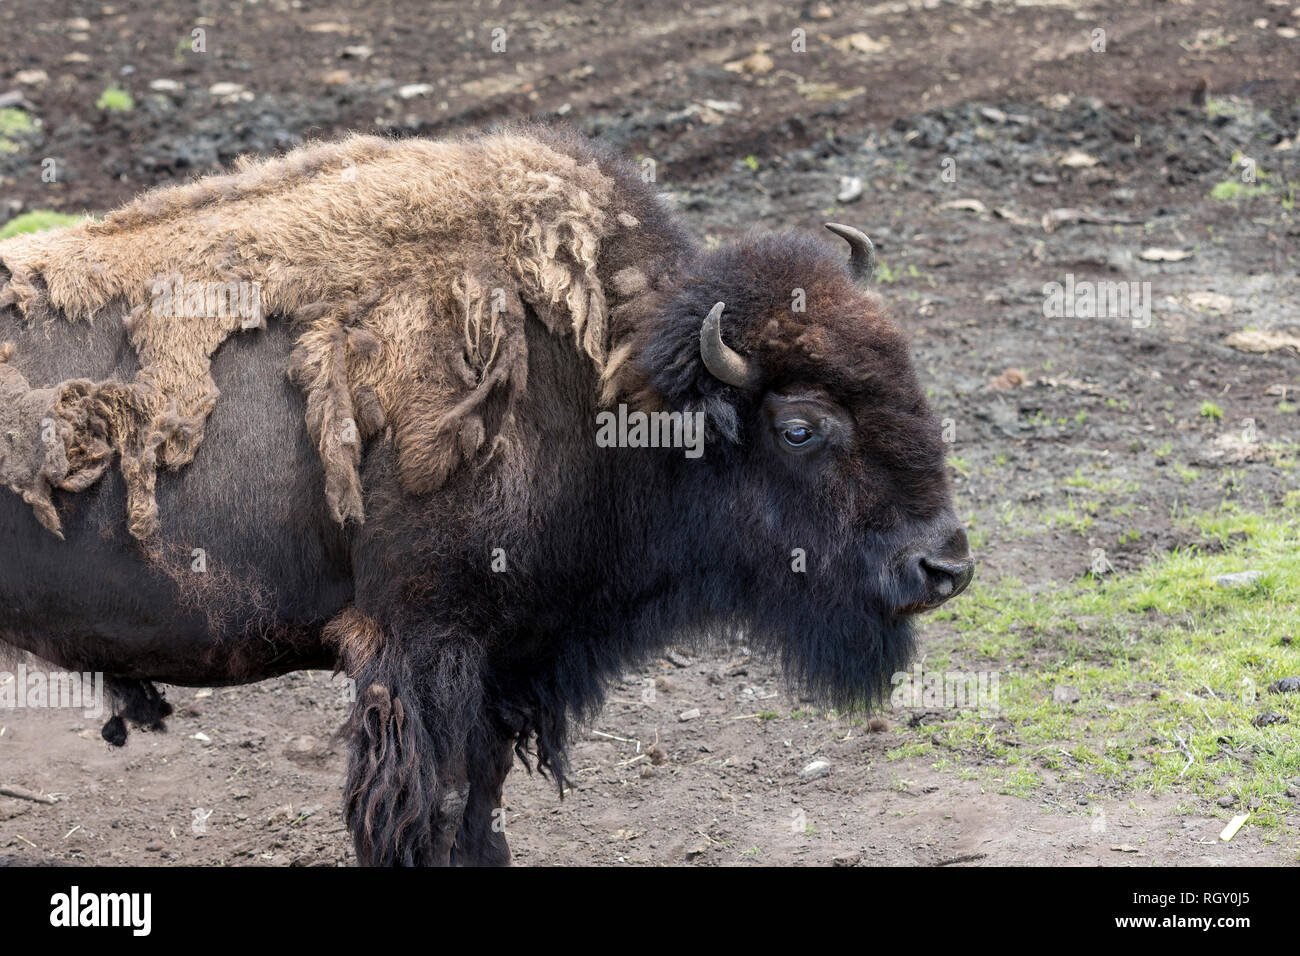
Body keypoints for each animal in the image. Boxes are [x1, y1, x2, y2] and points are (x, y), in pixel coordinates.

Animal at [0, 125, 973, 865]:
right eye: (801, 427)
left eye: (908, 371)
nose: (945, 566)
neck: (607, 388)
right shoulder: (421, 646)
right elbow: (430, 807)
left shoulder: (504, 657)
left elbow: (481, 804)